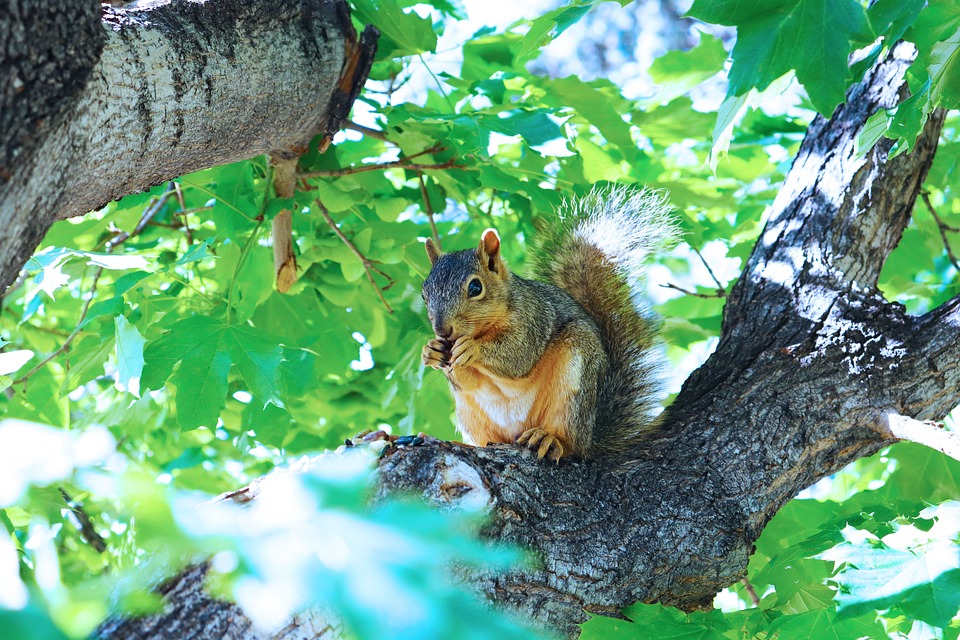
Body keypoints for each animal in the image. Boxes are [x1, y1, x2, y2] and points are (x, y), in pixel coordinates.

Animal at [420, 188, 677, 461]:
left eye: (476, 287)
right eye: (424, 294)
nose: (442, 331)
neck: (485, 329)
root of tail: (590, 436)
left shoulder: (534, 319)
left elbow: (519, 357)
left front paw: (472, 349)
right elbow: (468, 382)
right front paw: (431, 351)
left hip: (573, 389)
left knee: (570, 442)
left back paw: (550, 439)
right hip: (472, 416)